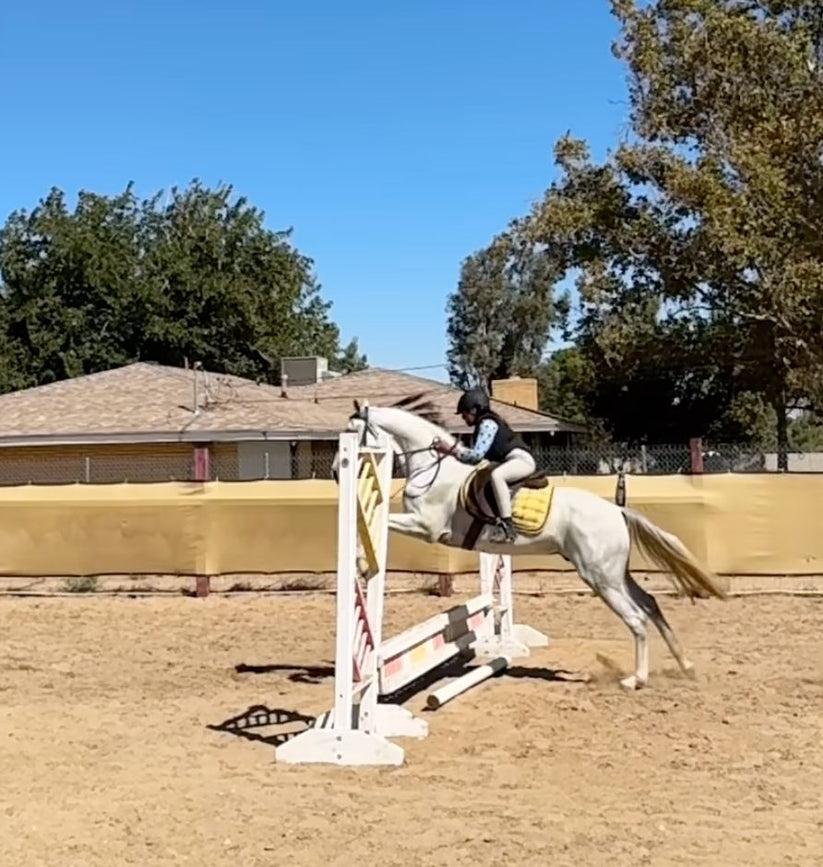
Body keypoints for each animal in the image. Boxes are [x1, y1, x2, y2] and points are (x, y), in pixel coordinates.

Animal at [334, 394, 728, 691]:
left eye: (353, 432)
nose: (337, 472)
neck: (434, 468)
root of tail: (616, 511)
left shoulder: (425, 526)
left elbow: (382, 525)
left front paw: (359, 561)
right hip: (616, 574)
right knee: (650, 605)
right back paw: (686, 665)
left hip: (600, 577)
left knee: (636, 618)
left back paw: (636, 680)